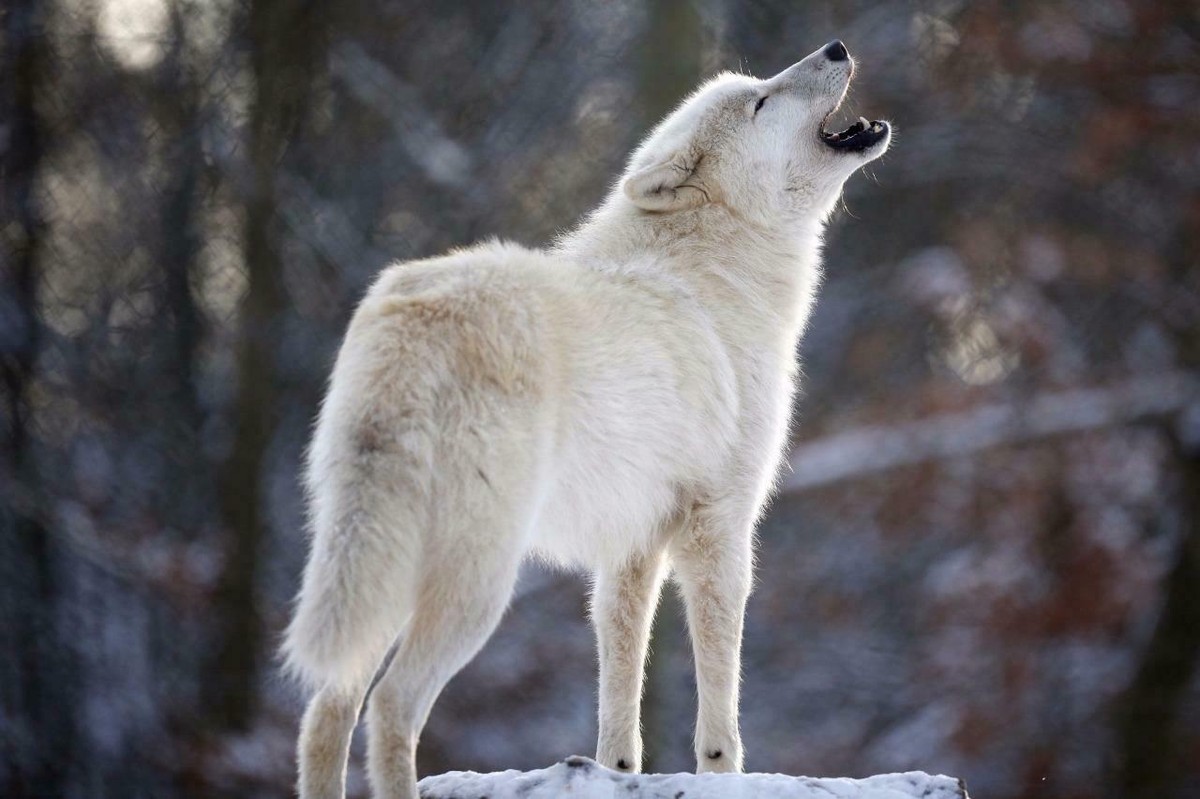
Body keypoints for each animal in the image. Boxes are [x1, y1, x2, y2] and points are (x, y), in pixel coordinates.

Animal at [284, 39, 890, 799]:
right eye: (761, 101)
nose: (836, 47)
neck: (718, 270)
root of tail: (413, 318)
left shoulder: (631, 544)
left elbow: (620, 675)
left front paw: (615, 770)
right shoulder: (719, 526)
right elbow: (720, 692)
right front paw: (723, 771)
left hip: (383, 568)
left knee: (325, 710)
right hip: (477, 583)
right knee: (391, 705)